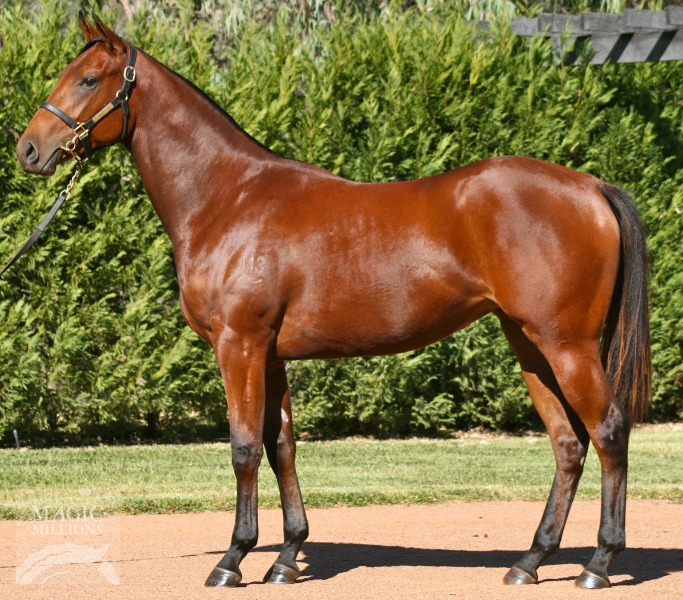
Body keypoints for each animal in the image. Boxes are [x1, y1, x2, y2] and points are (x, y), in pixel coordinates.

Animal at [15, 13, 650, 590]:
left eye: (88, 79)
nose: (28, 150)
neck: (229, 198)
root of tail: (592, 187)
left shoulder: (239, 346)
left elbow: (244, 448)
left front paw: (232, 560)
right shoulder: (270, 354)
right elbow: (282, 447)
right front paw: (285, 558)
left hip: (567, 345)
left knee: (608, 431)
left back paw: (598, 564)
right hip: (530, 346)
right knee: (568, 444)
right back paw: (529, 562)